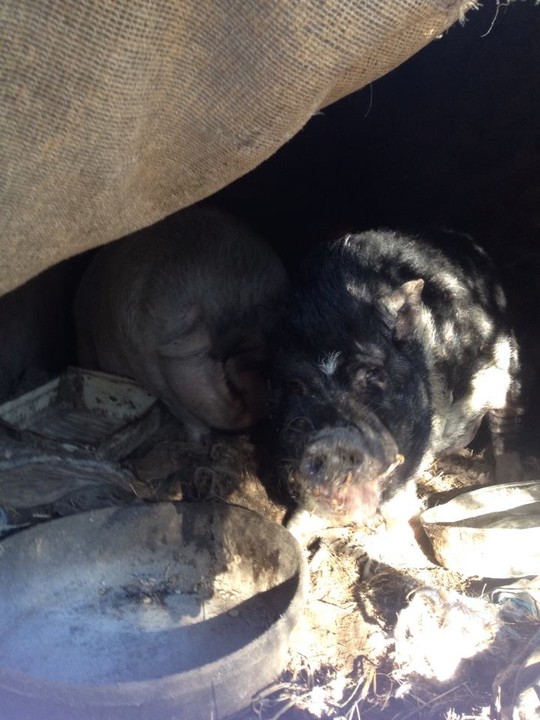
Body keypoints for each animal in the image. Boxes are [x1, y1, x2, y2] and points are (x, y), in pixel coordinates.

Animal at [74, 205, 288, 440]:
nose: (249, 367)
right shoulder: (149, 369)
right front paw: (200, 439)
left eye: (269, 344)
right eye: (215, 357)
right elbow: (183, 411)